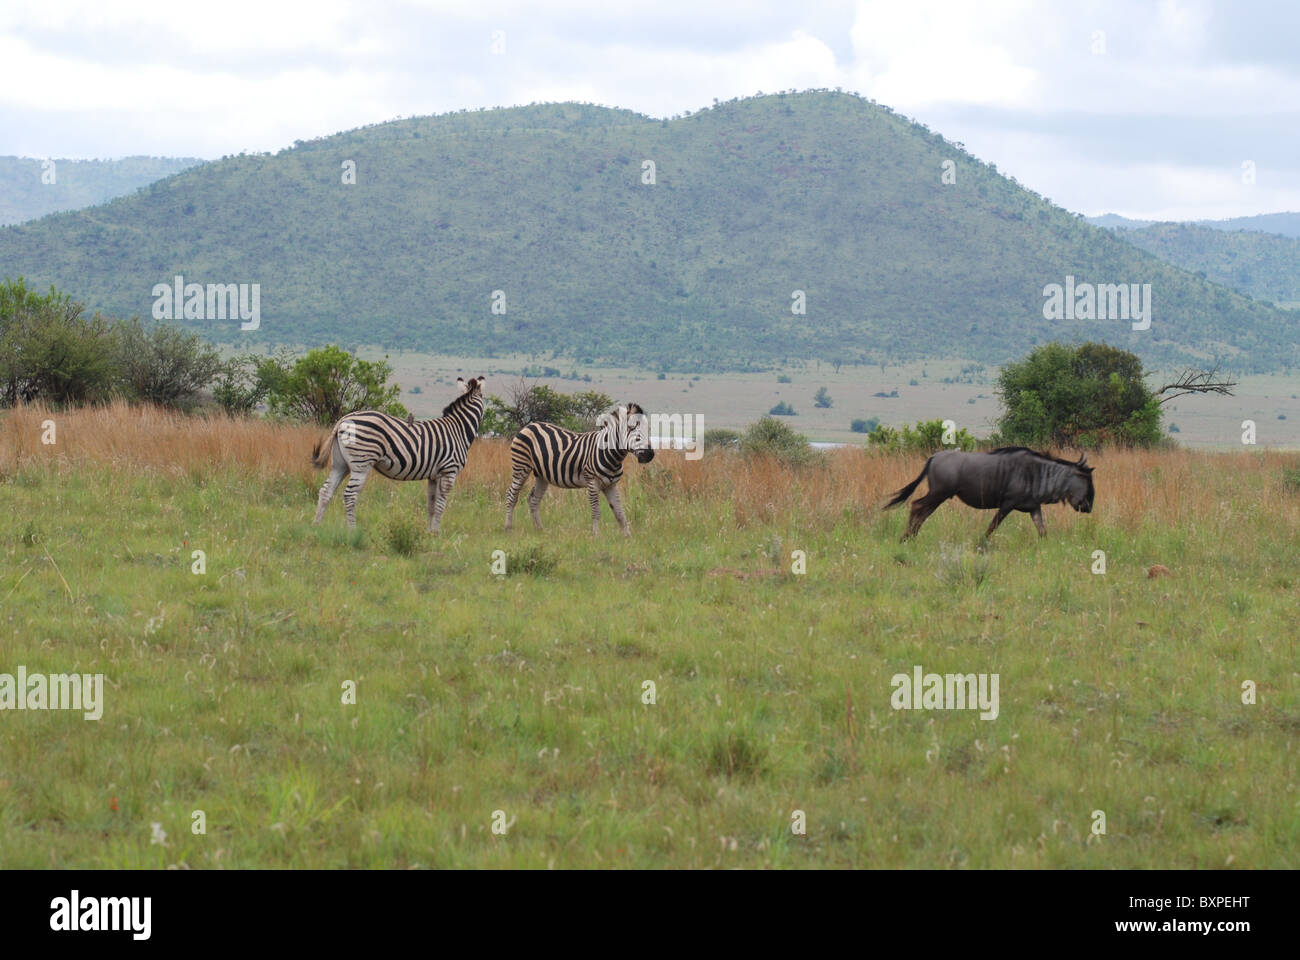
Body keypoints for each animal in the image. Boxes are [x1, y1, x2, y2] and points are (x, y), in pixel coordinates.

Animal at [311, 376, 486, 533]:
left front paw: (428, 533)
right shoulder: (449, 471)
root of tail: (343, 419)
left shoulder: (434, 475)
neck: (459, 429)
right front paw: (436, 533)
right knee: (350, 495)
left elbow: (431, 505)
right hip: (361, 463)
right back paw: (352, 531)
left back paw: (316, 526)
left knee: (326, 491)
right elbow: (440, 505)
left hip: (340, 464)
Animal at [505, 403, 655, 536]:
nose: (650, 455)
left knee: (533, 499)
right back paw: (508, 528)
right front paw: (596, 536)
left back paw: (540, 530)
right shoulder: (592, 482)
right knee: (511, 495)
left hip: (542, 475)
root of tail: (529, 426)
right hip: (521, 466)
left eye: (648, 431)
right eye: (635, 432)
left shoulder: (611, 484)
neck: (610, 454)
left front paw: (627, 537)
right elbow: (596, 511)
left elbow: (619, 511)